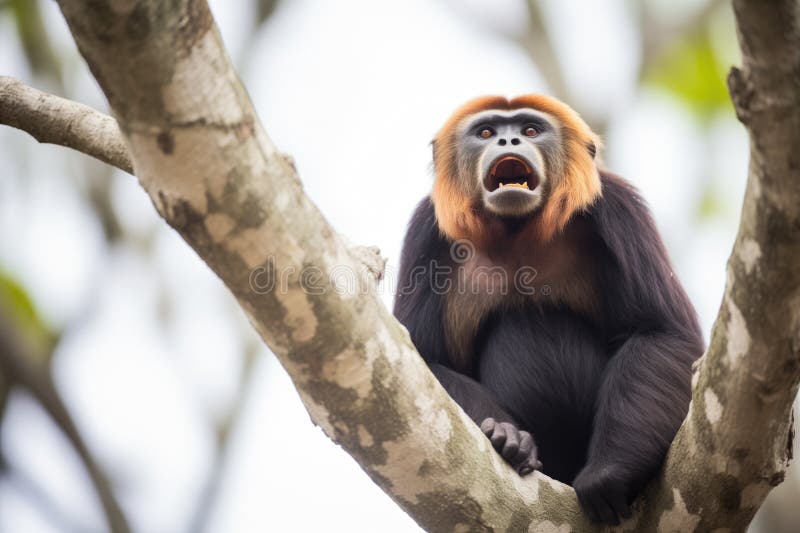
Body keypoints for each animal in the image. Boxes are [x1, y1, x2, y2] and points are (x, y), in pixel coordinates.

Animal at [393, 95, 704, 525]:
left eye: (530, 130)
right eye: (486, 132)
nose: (508, 140)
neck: (516, 232)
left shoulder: (618, 205)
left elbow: (663, 332)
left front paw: (609, 473)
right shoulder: (425, 231)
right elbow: (425, 359)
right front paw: (505, 435)